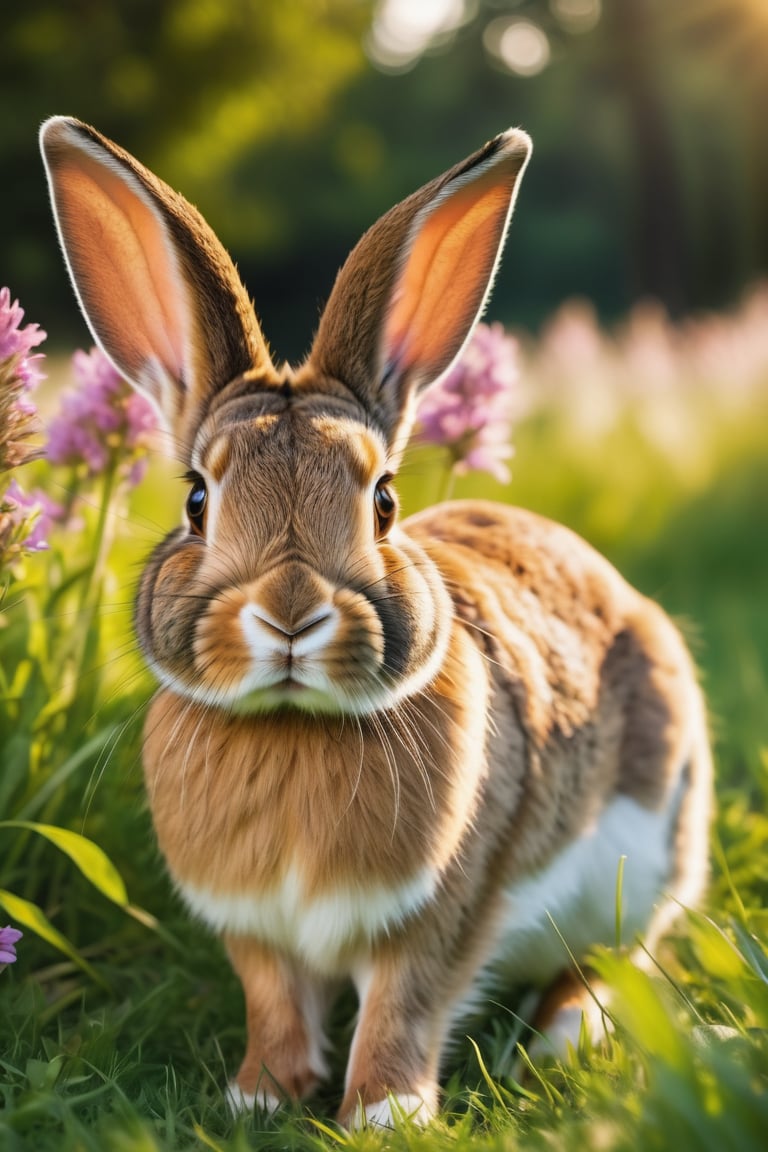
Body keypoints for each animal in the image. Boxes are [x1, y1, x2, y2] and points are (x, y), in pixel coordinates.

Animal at [40, 116, 712, 1128]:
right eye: (197, 499)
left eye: (384, 501)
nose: (289, 616)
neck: (291, 728)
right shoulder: (257, 932)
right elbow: (275, 1002)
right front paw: (259, 1096)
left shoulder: (449, 905)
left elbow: (407, 1001)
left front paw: (383, 1114)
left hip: (647, 861)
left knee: (612, 962)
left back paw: (561, 1035)